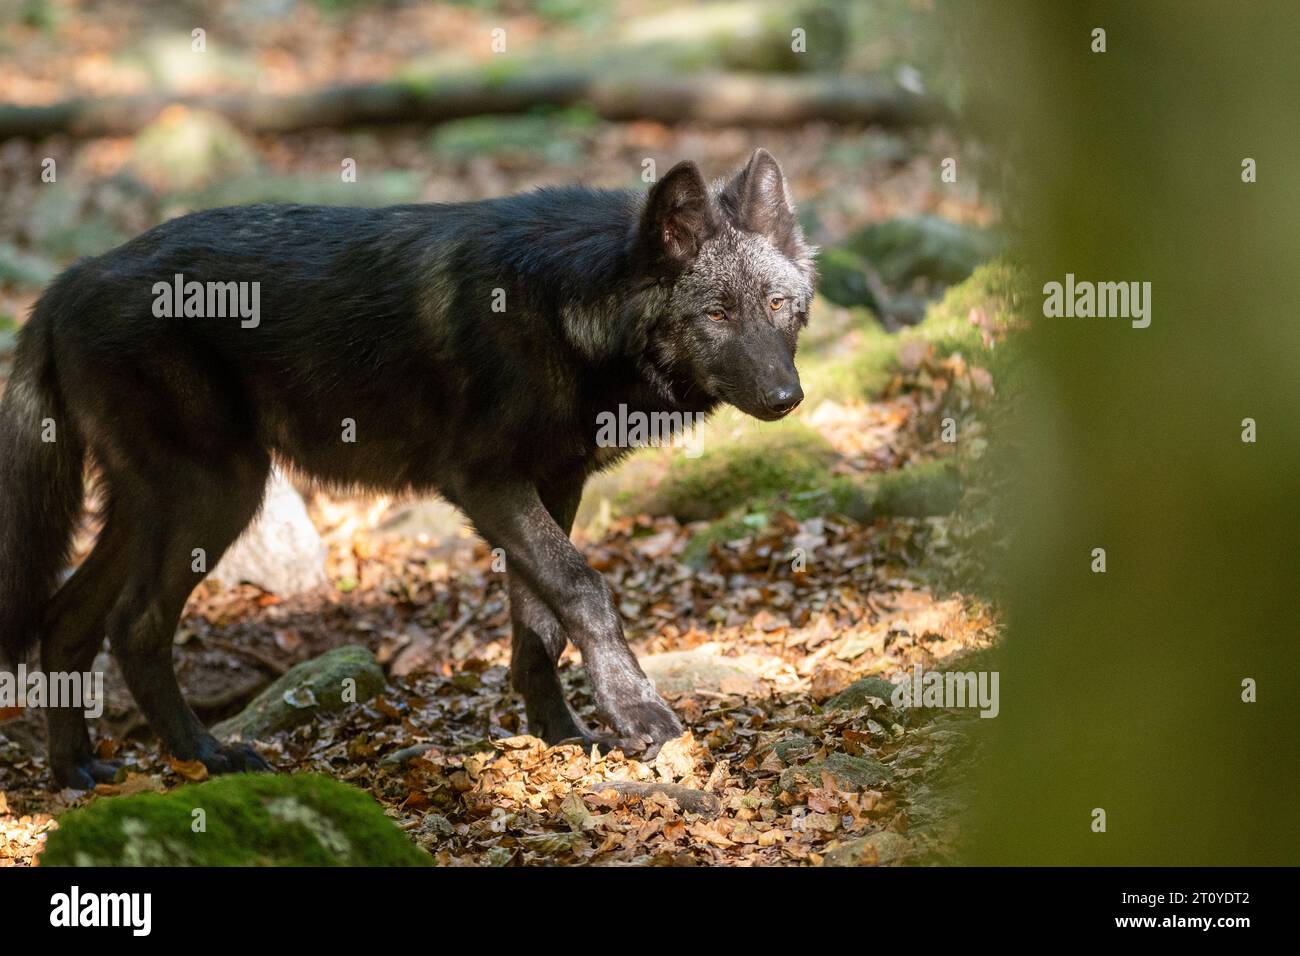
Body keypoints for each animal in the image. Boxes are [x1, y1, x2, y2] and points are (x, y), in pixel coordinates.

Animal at [0, 148, 816, 788]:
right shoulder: (485, 485)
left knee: (68, 618)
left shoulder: (555, 483)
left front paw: (560, 735)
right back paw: (206, 756)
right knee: (133, 626)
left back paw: (77, 771)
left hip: (160, 508)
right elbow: (584, 589)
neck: (564, 308)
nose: (788, 397)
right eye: (717, 314)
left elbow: (539, 625)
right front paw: (638, 714)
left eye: (780, 305)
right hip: (218, 496)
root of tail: (67, 281)